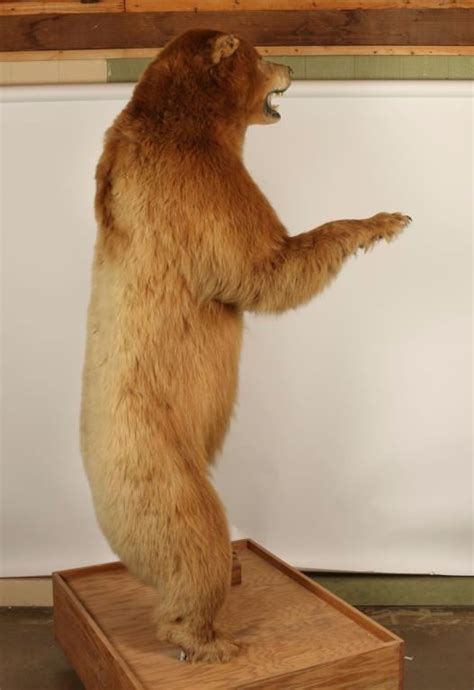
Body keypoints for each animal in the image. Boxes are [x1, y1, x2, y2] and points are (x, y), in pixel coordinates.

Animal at [80, 28, 411, 663]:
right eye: (261, 56)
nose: (292, 68)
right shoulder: (198, 179)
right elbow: (259, 265)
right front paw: (384, 220)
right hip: (162, 466)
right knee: (194, 541)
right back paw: (207, 638)